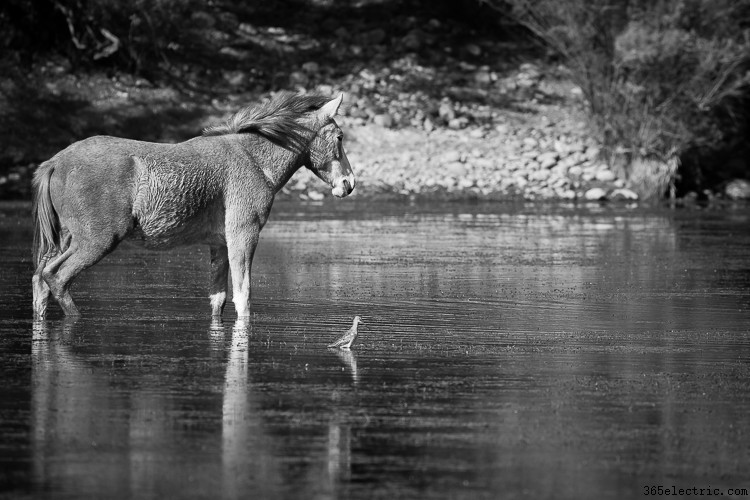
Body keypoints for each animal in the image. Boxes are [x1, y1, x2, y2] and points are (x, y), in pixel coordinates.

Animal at [36, 92, 362, 318]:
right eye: (339, 136)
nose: (348, 183)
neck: (259, 164)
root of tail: (53, 163)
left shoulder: (219, 243)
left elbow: (218, 299)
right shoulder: (244, 233)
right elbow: (243, 298)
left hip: (63, 239)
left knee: (39, 281)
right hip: (97, 240)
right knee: (56, 277)